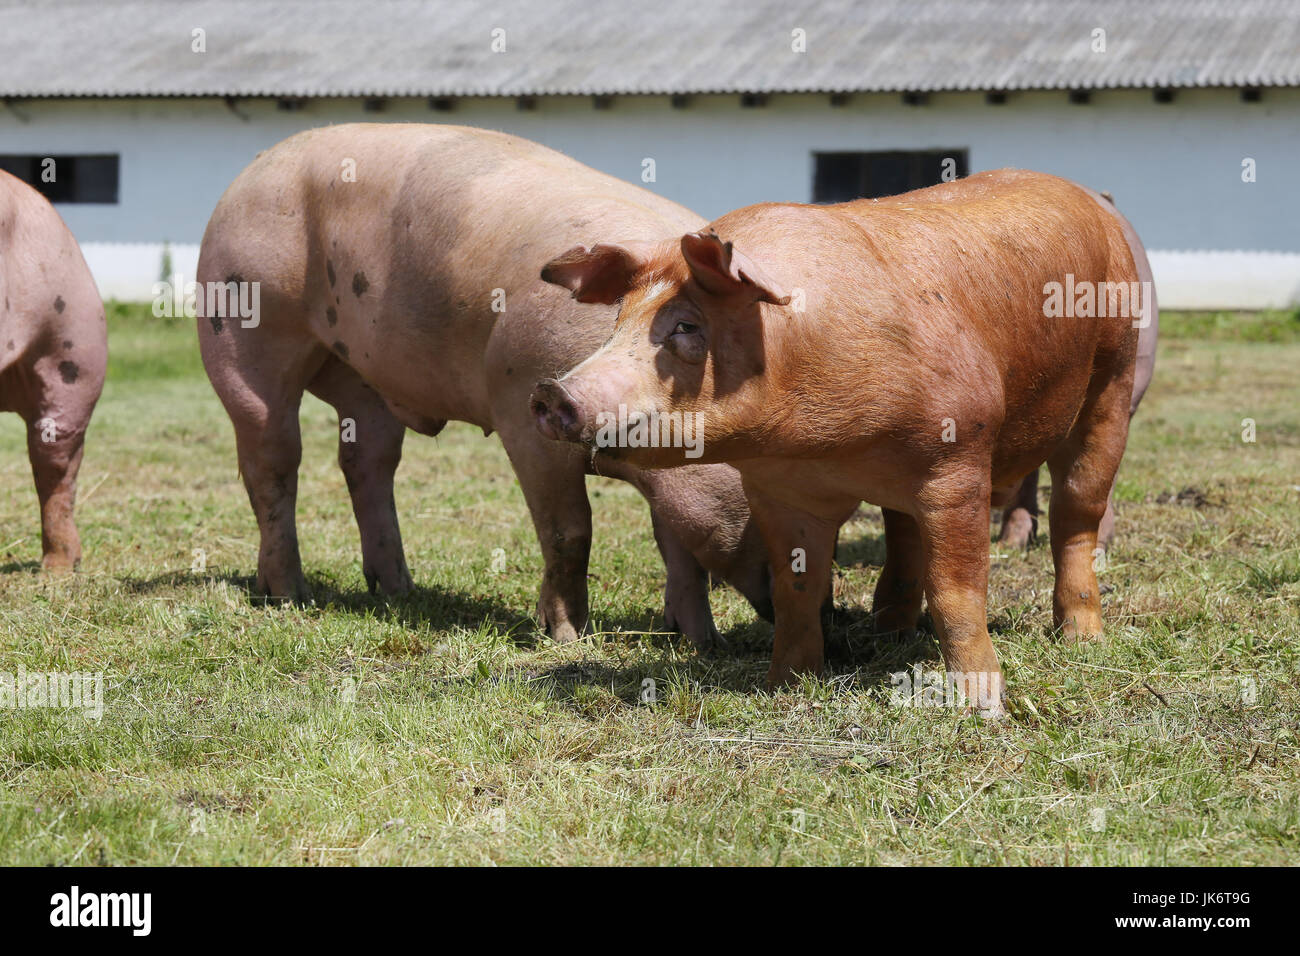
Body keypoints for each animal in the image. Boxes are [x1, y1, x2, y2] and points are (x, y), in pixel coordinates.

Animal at [196, 124, 771, 646]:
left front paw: (700, 642)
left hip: (363, 381)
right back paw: (290, 595)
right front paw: (566, 638)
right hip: (243, 327)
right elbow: (570, 530)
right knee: (271, 462)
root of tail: (248, 172)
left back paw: (399, 591)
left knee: (368, 463)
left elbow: (677, 546)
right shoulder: (523, 413)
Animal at [533, 169, 1147, 714]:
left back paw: (1080, 637)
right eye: (618, 322)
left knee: (1077, 512)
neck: (822, 444)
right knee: (903, 532)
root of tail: (1091, 202)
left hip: (1113, 378)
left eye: (685, 326)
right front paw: (787, 682)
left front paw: (982, 706)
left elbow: (957, 591)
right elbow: (796, 587)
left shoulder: (958, 459)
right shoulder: (781, 490)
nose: (549, 391)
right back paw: (890, 633)